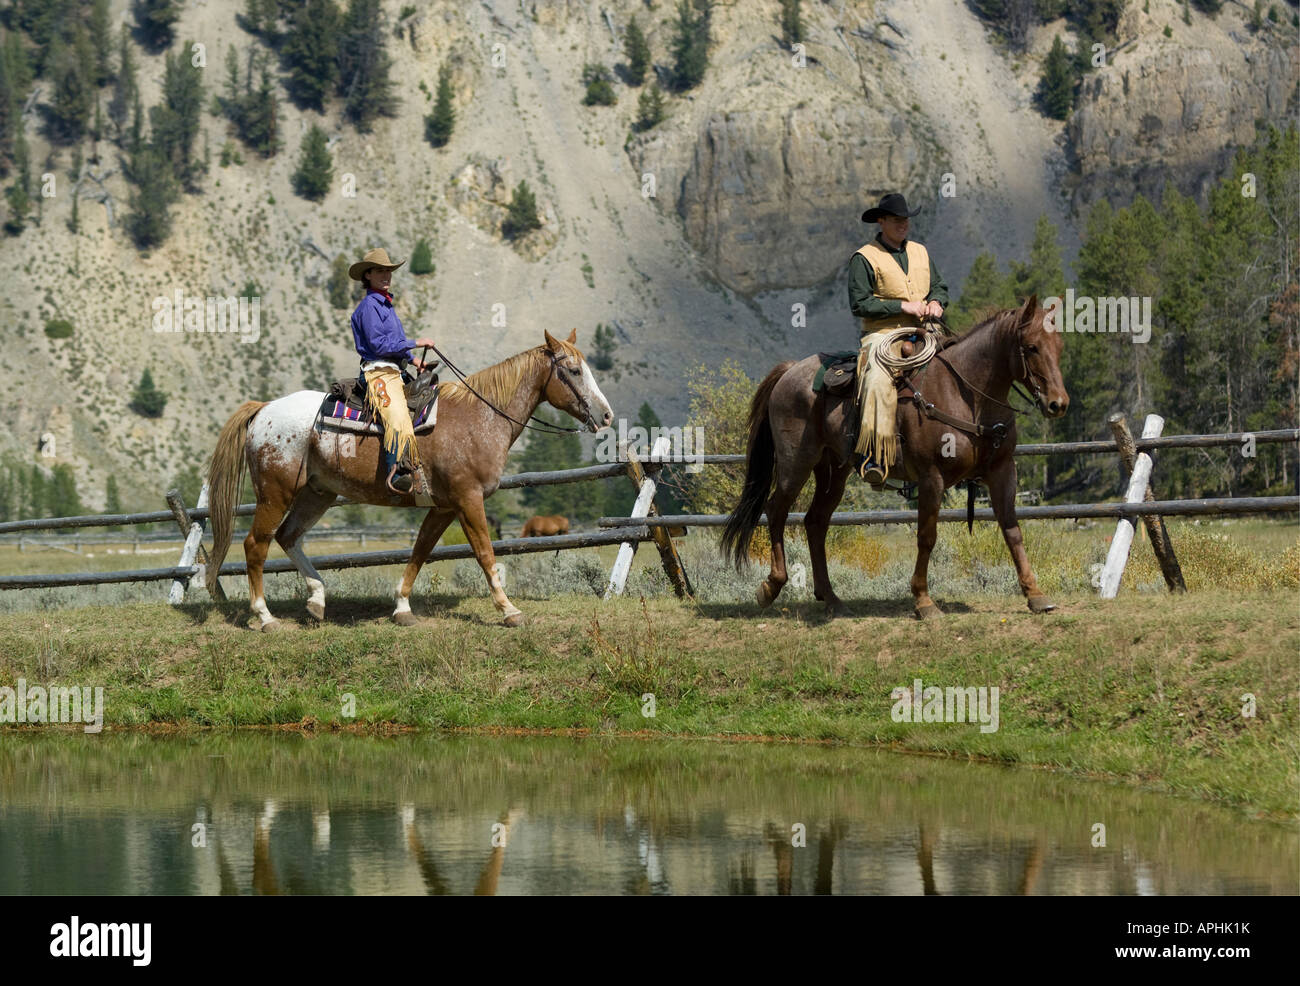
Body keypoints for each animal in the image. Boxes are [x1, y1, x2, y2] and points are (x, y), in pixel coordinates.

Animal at [205, 329, 613, 629]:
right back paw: (265, 617)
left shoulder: (444, 506)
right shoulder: (468, 499)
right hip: (275, 494)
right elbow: (484, 553)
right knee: (256, 544)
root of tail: (263, 410)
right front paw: (509, 610)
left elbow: (420, 551)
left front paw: (402, 607)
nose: (606, 415)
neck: (478, 417)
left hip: (317, 494)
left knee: (289, 538)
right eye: (574, 371)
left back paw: (317, 599)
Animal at [719, 295, 1068, 619]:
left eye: (1059, 346)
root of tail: (789, 370)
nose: (1058, 404)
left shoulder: (1002, 471)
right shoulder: (931, 478)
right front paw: (923, 601)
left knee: (815, 522)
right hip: (796, 464)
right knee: (776, 510)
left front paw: (1035, 595)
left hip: (833, 471)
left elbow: (1012, 529)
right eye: (1032, 347)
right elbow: (927, 536)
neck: (966, 396)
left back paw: (830, 598)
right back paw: (771, 586)